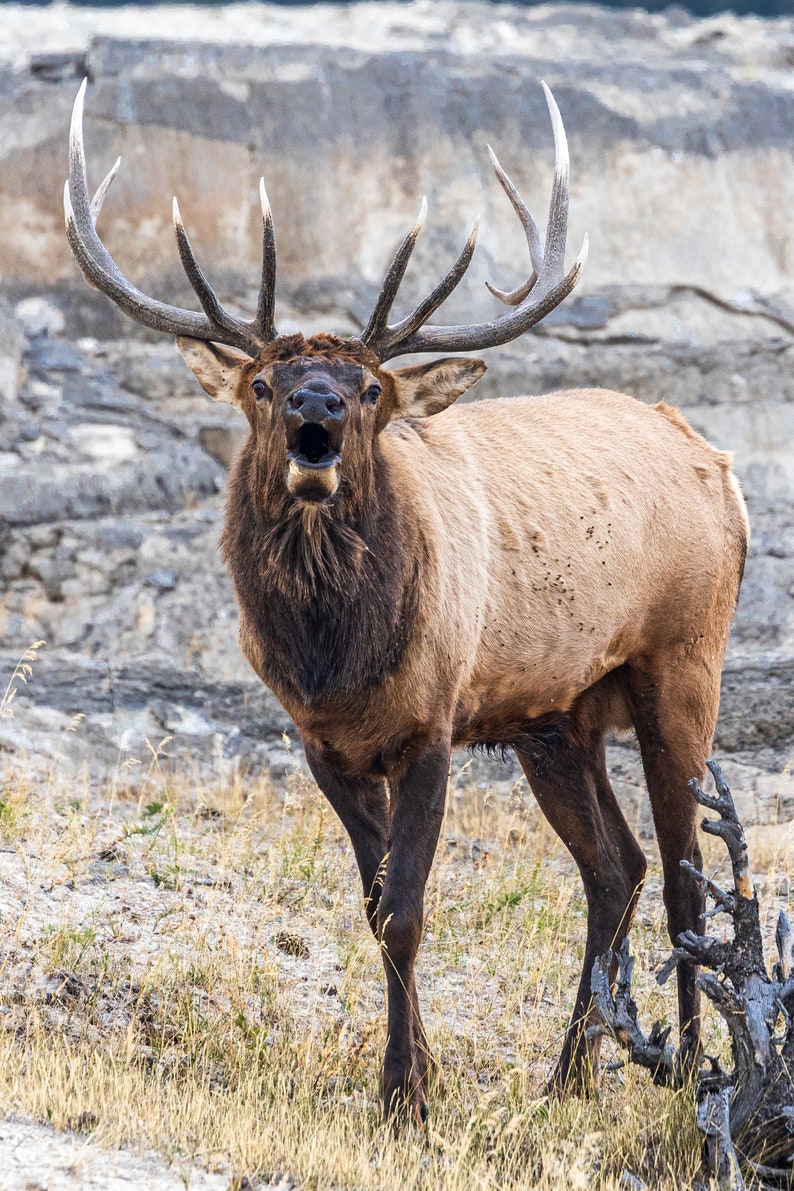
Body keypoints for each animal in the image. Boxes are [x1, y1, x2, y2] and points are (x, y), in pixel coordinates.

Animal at [64, 78, 748, 1124]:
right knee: (616, 866)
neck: (336, 660)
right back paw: (567, 1076)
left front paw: (405, 1096)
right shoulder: (321, 742)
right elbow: (374, 903)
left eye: (373, 386)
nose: (316, 408)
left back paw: (690, 1077)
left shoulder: (433, 723)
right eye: (260, 381)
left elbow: (409, 909)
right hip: (557, 718)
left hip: (682, 660)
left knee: (685, 878)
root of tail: (721, 467)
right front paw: (417, 1079)